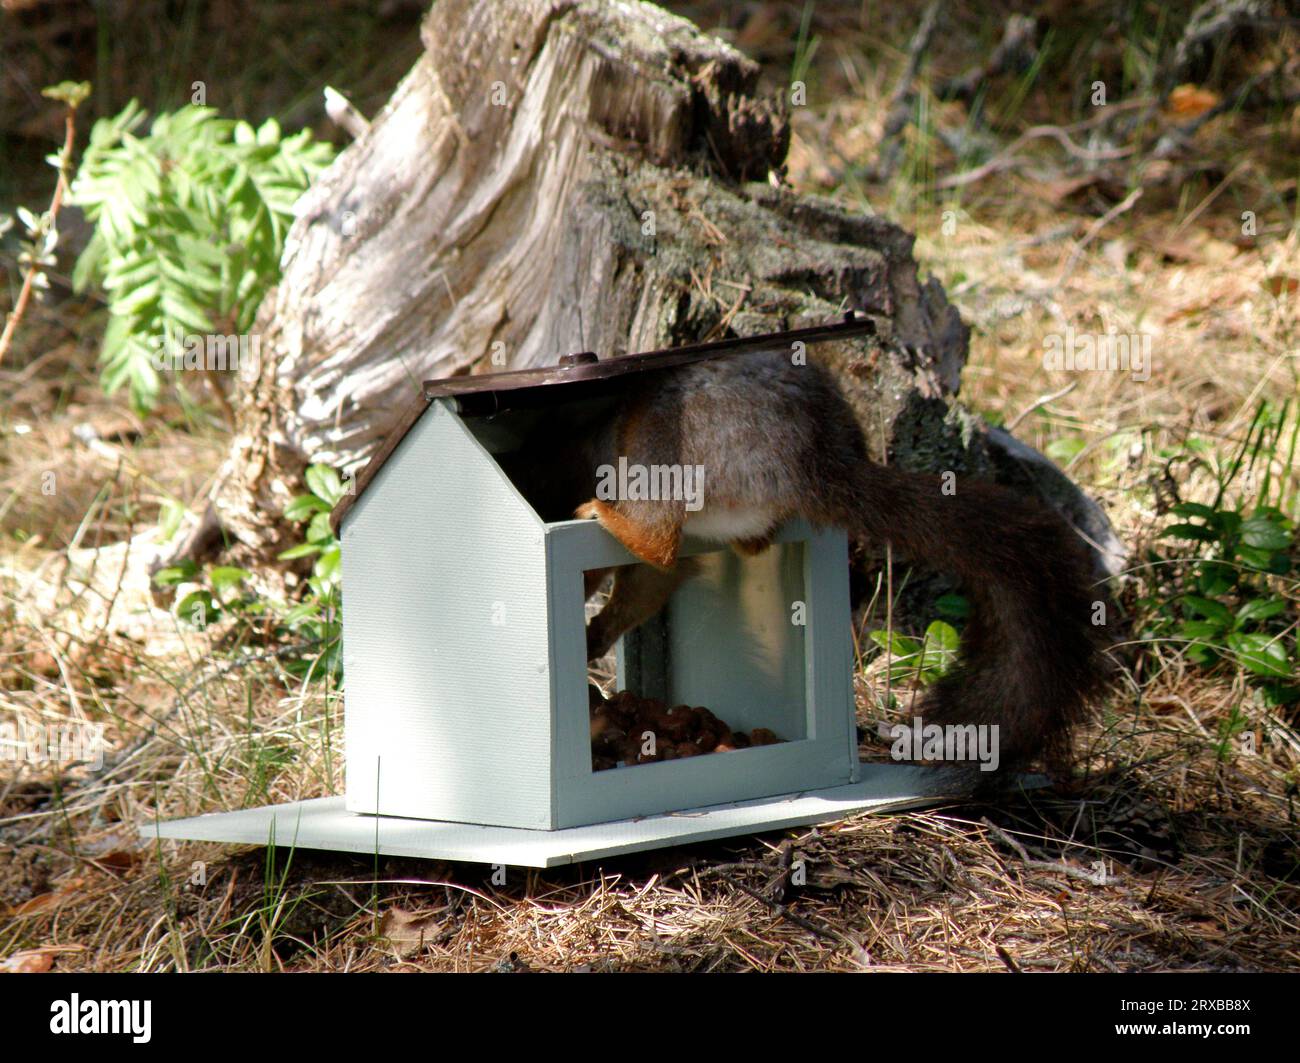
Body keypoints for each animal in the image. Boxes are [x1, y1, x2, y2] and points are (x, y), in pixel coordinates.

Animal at [510, 346, 1110, 793]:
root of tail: (813, 460)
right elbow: (647, 586)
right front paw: (595, 635)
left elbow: (652, 568)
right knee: (733, 545)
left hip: (671, 438)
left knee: (657, 535)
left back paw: (603, 513)